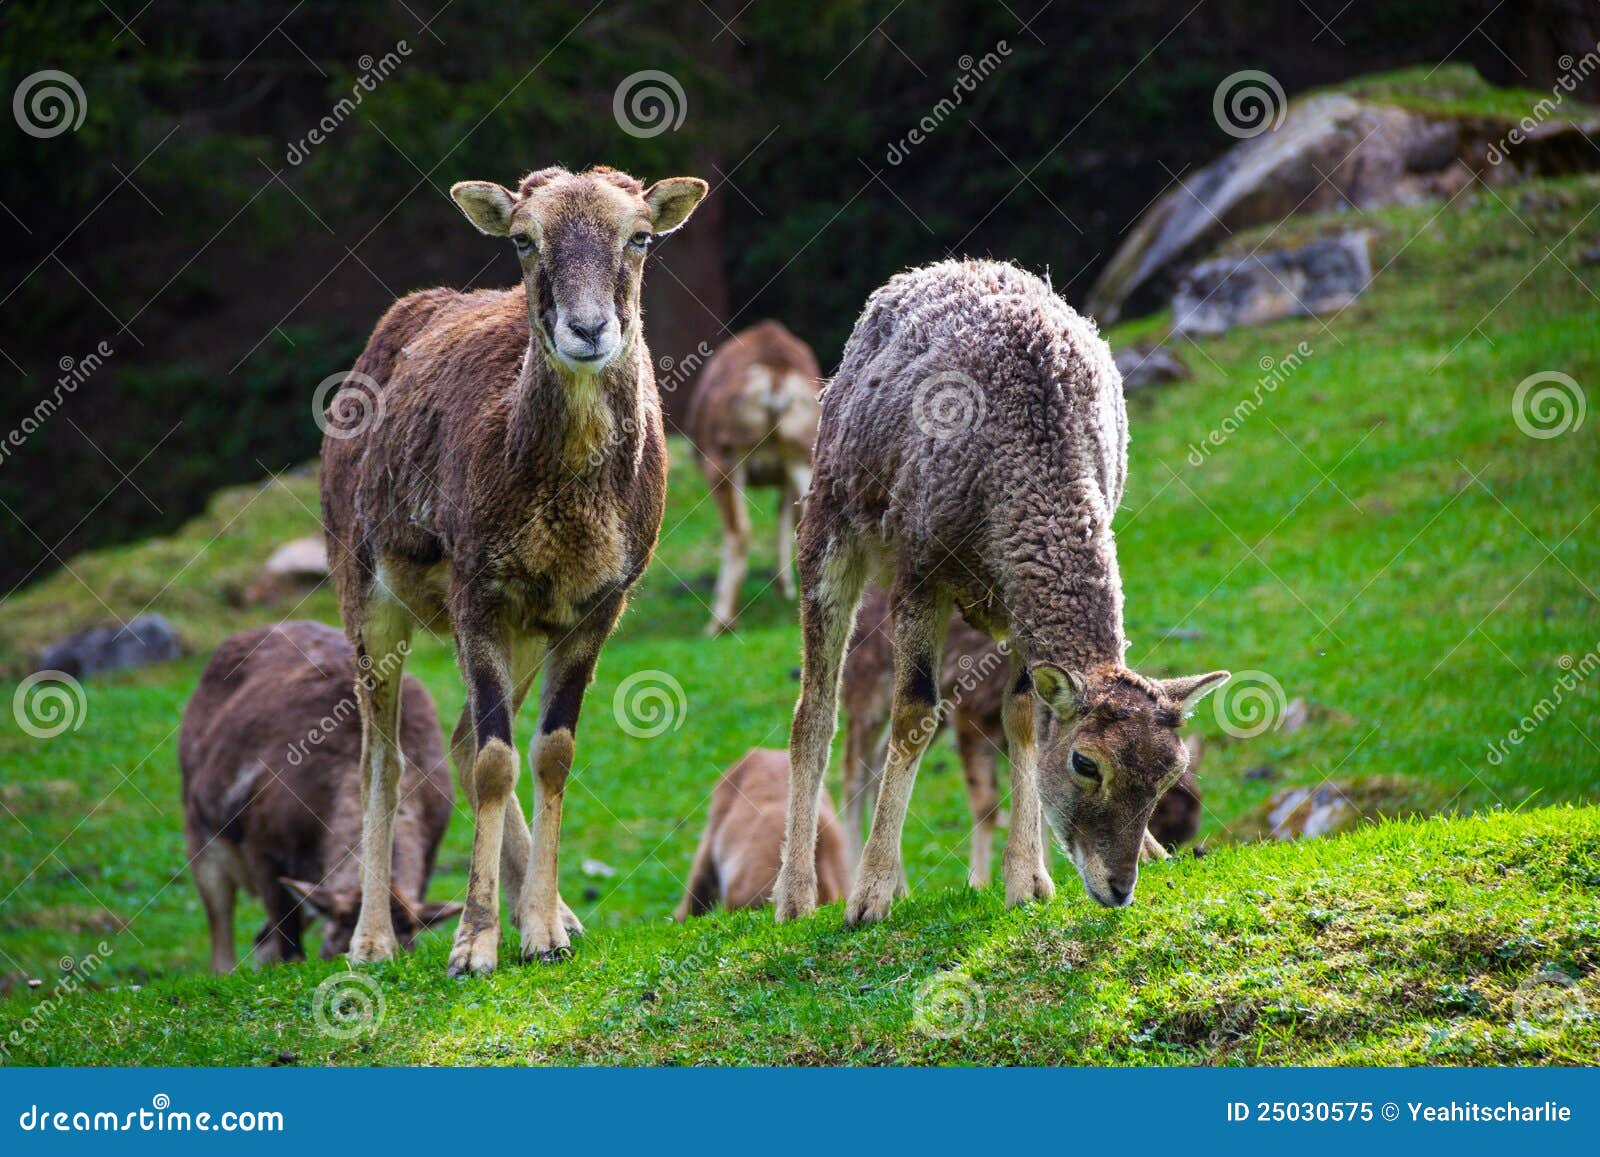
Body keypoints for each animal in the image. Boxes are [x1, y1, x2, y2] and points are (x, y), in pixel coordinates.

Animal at [179, 621, 458, 971]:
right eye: (332, 952)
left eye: (410, 949)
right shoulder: (264, 847)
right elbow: (290, 947)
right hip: (200, 834)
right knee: (222, 942)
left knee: (260, 939)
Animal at [320, 165, 706, 973]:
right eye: (524, 240)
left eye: (641, 236)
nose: (588, 329)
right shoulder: (477, 589)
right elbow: (496, 761)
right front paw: (473, 945)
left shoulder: (598, 604)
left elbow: (550, 751)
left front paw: (543, 933)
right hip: (362, 586)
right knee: (382, 759)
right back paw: (372, 941)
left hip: (526, 632)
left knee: (460, 738)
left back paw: (561, 914)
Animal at [685, 320, 822, 635]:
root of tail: (776, 384)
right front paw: (784, 589)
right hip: (803, 451)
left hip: (725, 454)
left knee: (739, 531)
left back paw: (720, 623)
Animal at [774, 260, 1228, 925]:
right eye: (1086, 763)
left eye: (1172, 775)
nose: (1119, 888)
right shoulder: (921, 568)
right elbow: (916, 711)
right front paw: (869, 896)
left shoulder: (1014, 607)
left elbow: (1024, 718)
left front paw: (1028, 882)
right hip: (830, 525)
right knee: (815, 709)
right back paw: (797, 895)